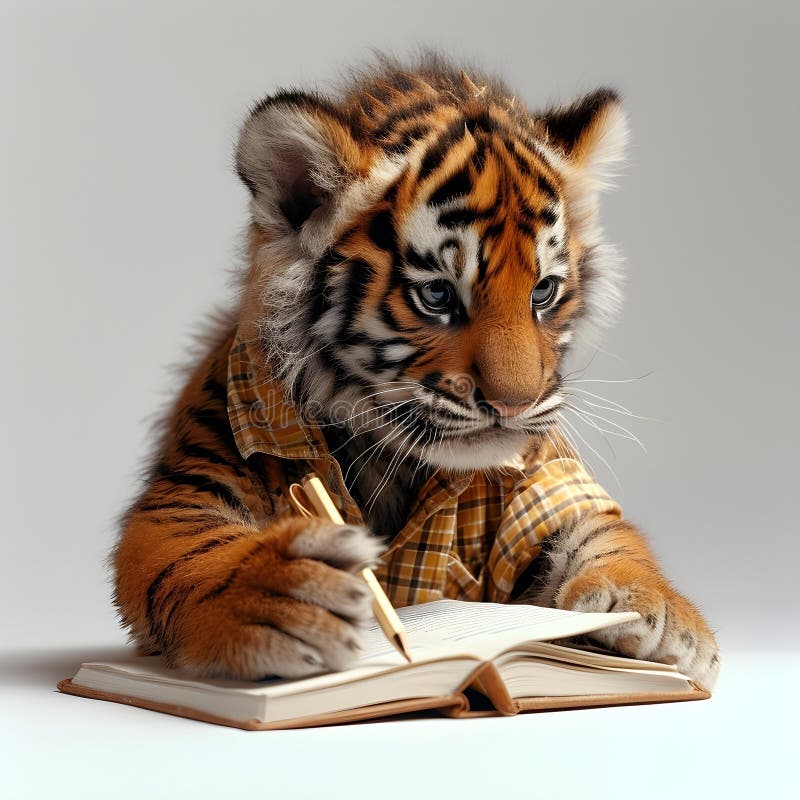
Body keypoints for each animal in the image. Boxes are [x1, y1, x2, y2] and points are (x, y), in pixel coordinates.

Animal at [112, 54, 720, 689]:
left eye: (543, 292)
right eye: (436, 296)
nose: (514, 405)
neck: (394, 460)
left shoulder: (545, 477)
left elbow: (600, 527)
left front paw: (658, 613)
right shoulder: (192, 483)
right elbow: (192, 556)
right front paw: (284, 592)